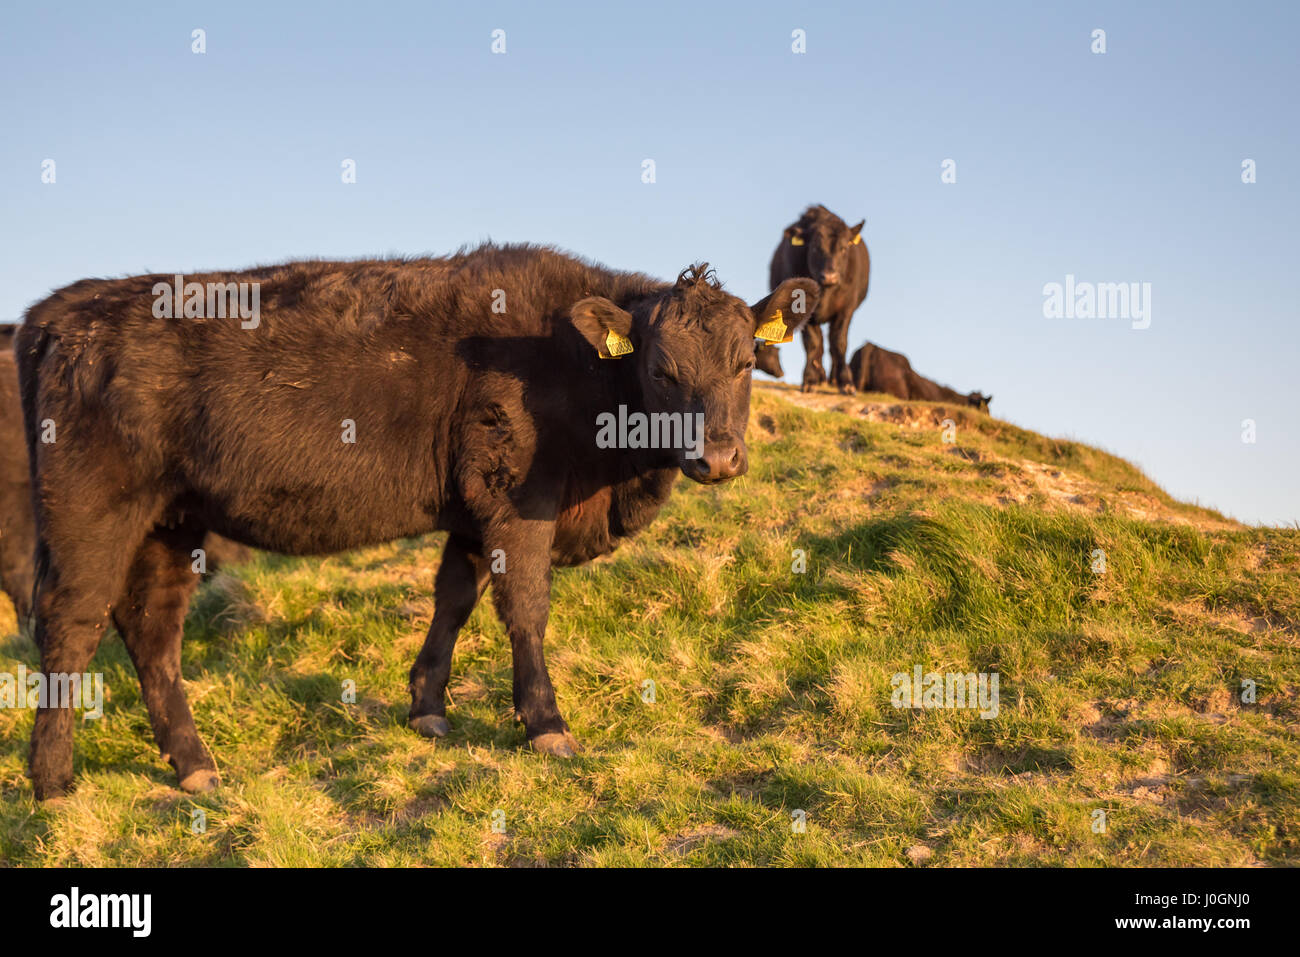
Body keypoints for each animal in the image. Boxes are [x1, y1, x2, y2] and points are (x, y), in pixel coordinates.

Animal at [16, 243, 819, 799]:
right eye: (660, 370)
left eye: (745, 360)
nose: (718, 457)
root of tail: (62, 308)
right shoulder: (517, 498)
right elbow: (525, 606)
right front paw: (546, 723)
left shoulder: (473, 507)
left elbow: (455, 595)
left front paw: (427, 707)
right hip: (93, 509)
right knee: (71, 623)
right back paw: (54, 780)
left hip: (169, 519)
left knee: (151, 631)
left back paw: (193, 765)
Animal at [755, 205, 869, 394]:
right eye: (815, 248)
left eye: (844, 248)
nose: (830, 277)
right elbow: (813, 344)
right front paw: (809, 380)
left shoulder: (845, 309)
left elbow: (839, 343)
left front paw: (846, 383)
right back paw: (820, 377)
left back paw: (832, 379)